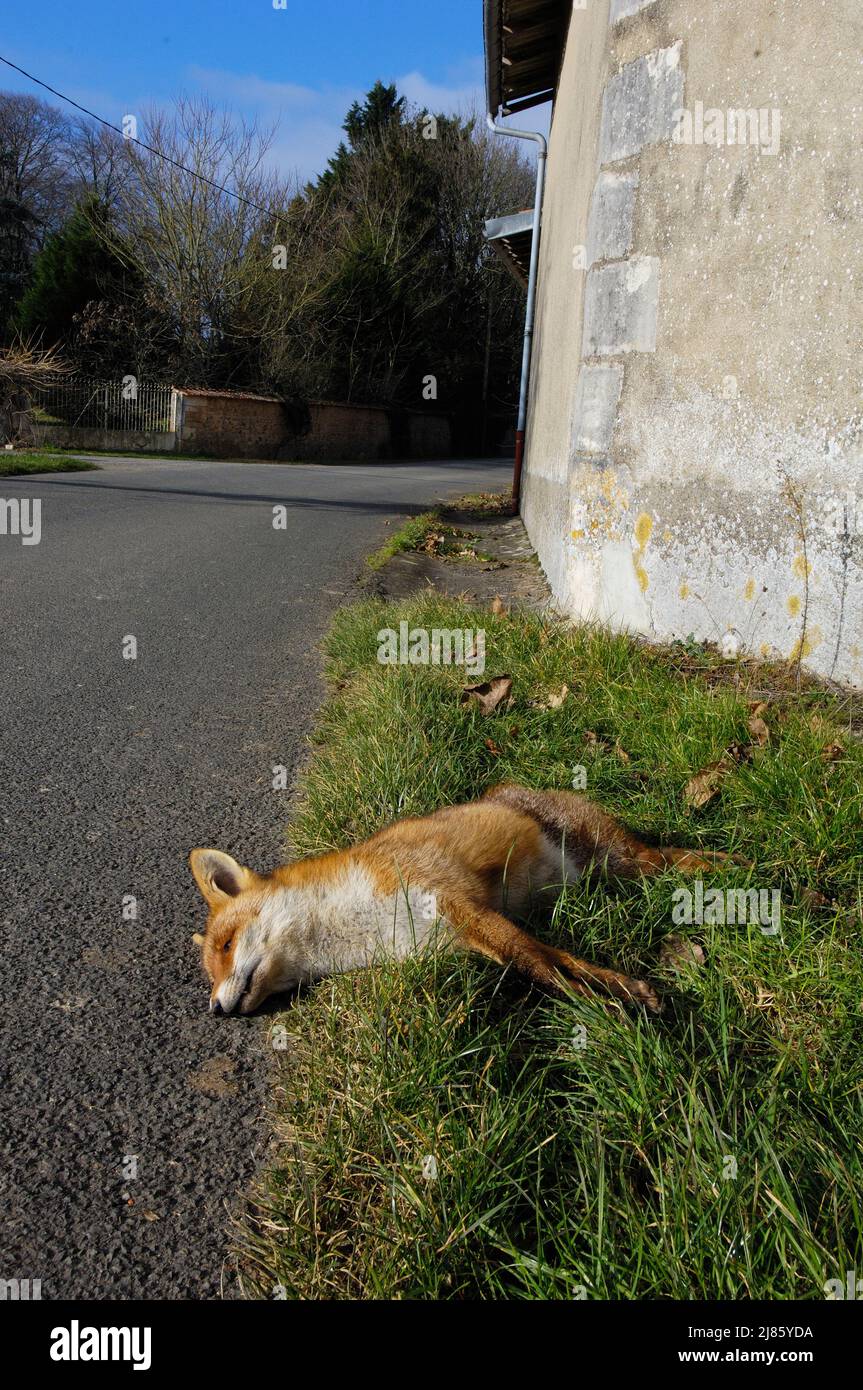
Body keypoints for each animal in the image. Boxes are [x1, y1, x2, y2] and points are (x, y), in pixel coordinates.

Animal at [190, 784, 743, 1017]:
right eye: (211, 974)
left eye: (226, 946)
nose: (216, 1009)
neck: (361, 925)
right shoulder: (464, 933)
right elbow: (555, 962)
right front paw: (621, 995)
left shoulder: (457, 902)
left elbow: (543, 968)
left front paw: (604, 1004)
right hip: (607, 872)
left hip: (625, 859)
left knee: (671, 860)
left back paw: (738, 870)